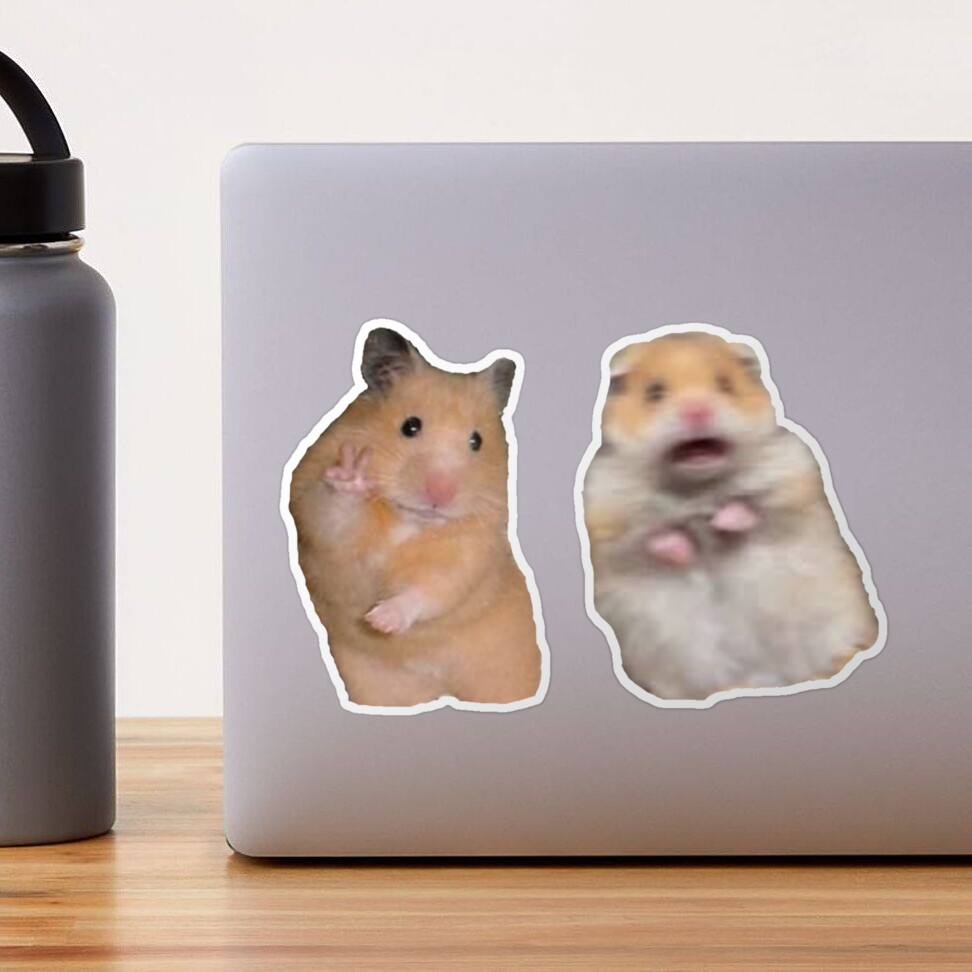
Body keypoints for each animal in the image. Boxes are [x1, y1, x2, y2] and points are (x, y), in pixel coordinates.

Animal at [289, 327, 541, 708]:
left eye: (476, 441)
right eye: (410, 427)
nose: (440, 495)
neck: (410, 522)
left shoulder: (469, 554)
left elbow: (432, 589)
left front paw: (380, 621)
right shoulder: (316, 513)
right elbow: (334, 515)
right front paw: (352, 474)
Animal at [583, 331, 878, 701]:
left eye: (725, 385)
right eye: (654, 393)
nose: (697, 411)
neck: (697, 486)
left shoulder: (794, 479)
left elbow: (753, 507)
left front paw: (720, 523)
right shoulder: (607, 519)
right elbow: (654, 537)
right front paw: (687, 549)